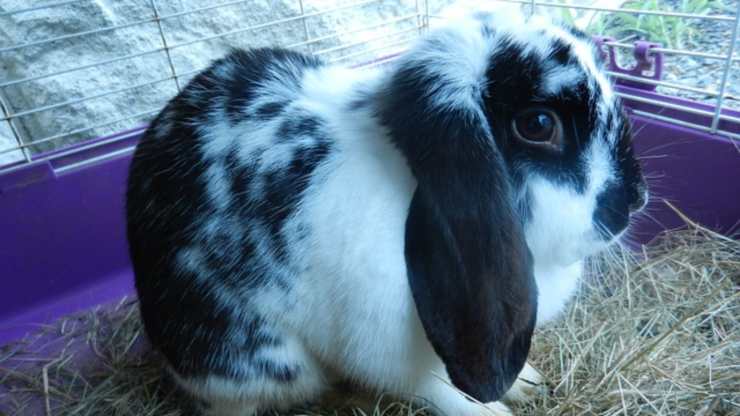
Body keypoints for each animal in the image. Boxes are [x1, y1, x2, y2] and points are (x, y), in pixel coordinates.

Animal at [126, 5, 647, 416]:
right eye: (538, 124)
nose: (634, 201)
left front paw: (526, 382)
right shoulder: (392, 350)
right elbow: (437, 389)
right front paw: (491, 411)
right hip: (252, 363)